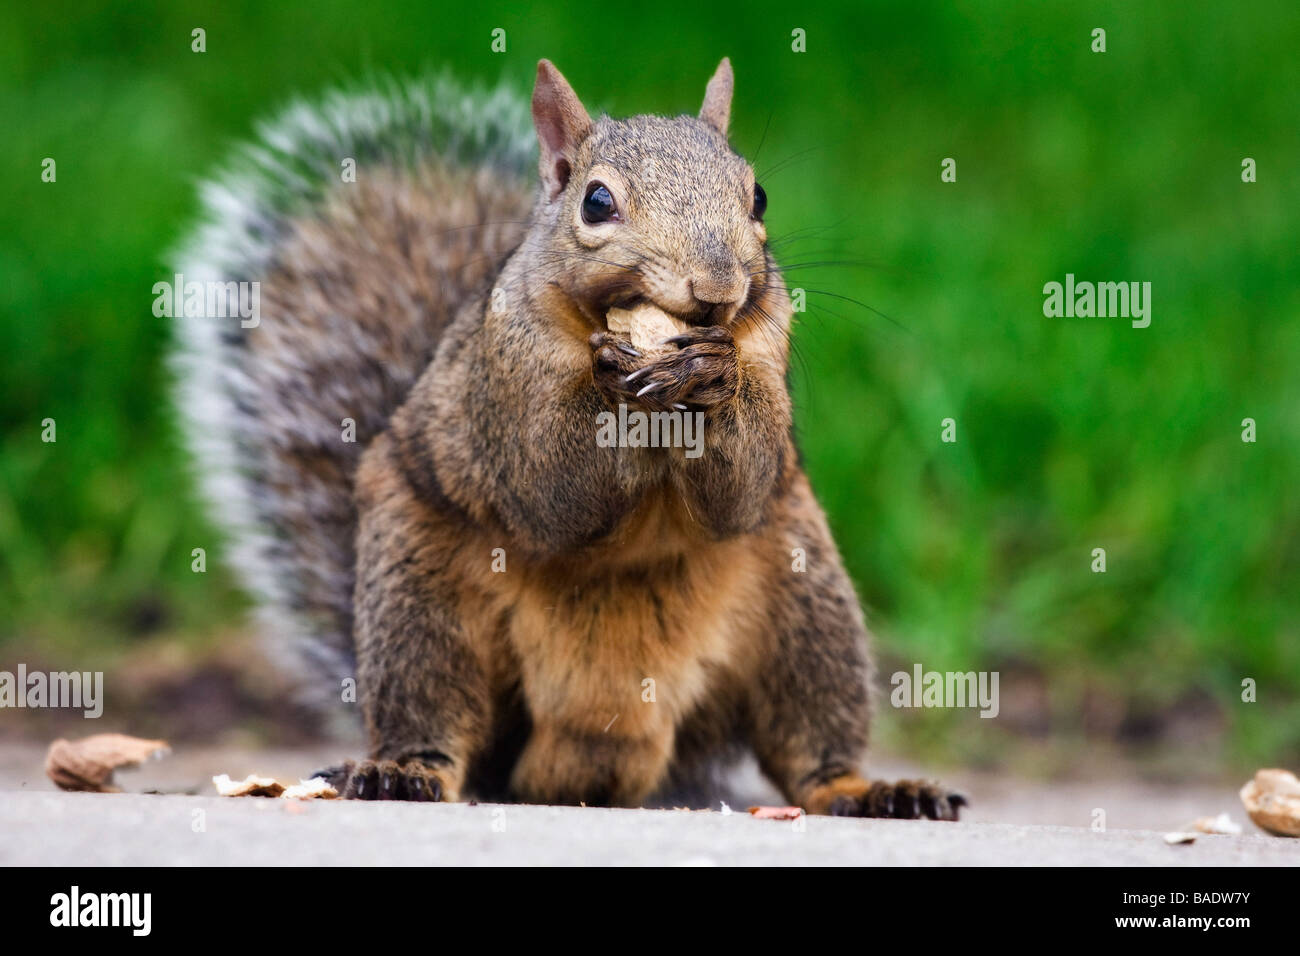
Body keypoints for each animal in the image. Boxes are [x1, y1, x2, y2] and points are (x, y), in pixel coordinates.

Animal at [172, 58, 965, 819]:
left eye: (760, 197)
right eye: (597, 202)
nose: (715, 289)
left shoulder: (766, 351)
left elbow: (742, 487)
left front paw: (711, 372)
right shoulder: (503, 387)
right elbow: (550, 492)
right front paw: (613, 374)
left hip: (804, 607)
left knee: (810, 747)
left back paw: (875, 792)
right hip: (418, 597)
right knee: (436, 717)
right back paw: (402, 771)